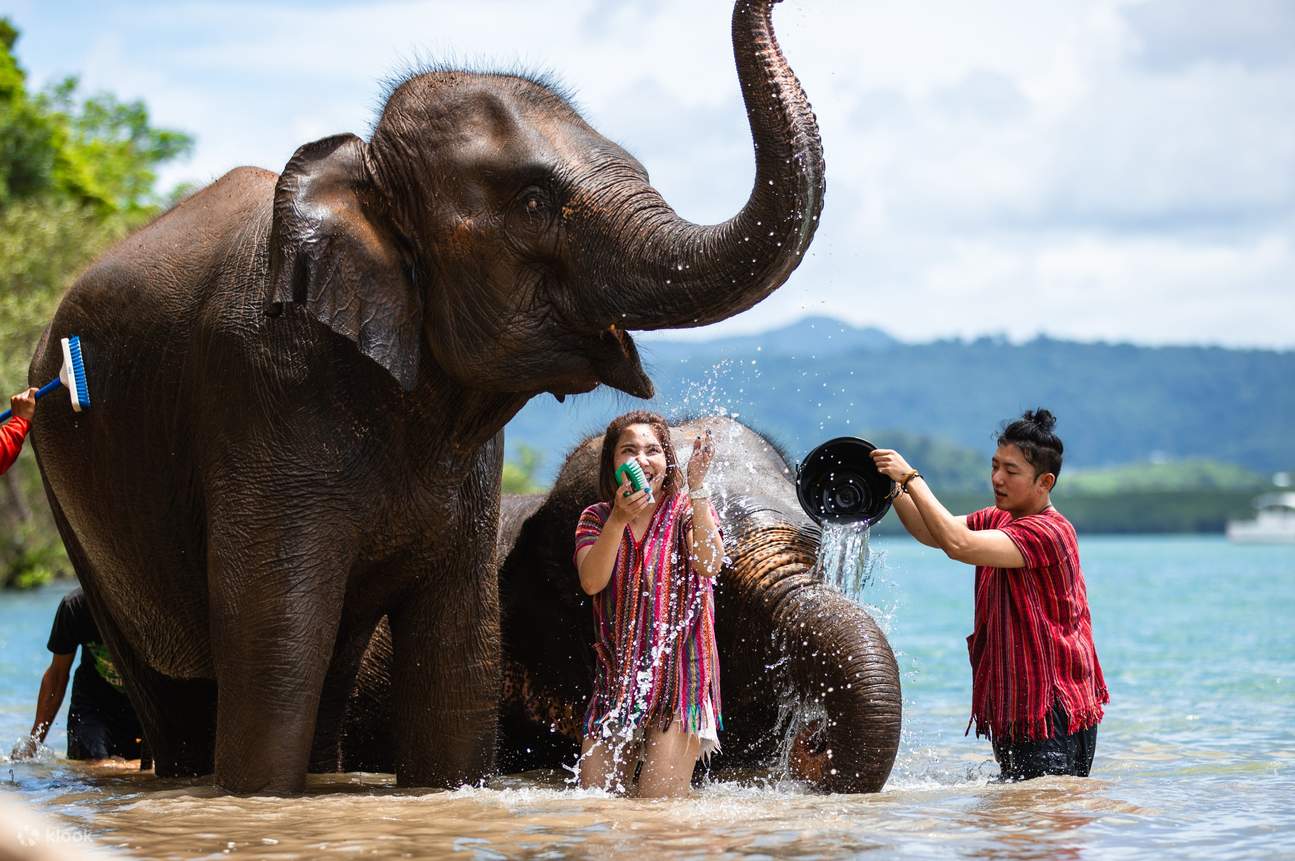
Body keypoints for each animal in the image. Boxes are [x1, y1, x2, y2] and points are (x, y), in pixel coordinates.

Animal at [28, 0, 825, 793]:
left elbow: (456, 662)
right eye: (533, 202)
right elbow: (276, 649)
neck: (365, 179)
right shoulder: (262, 393)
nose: (776, 6)